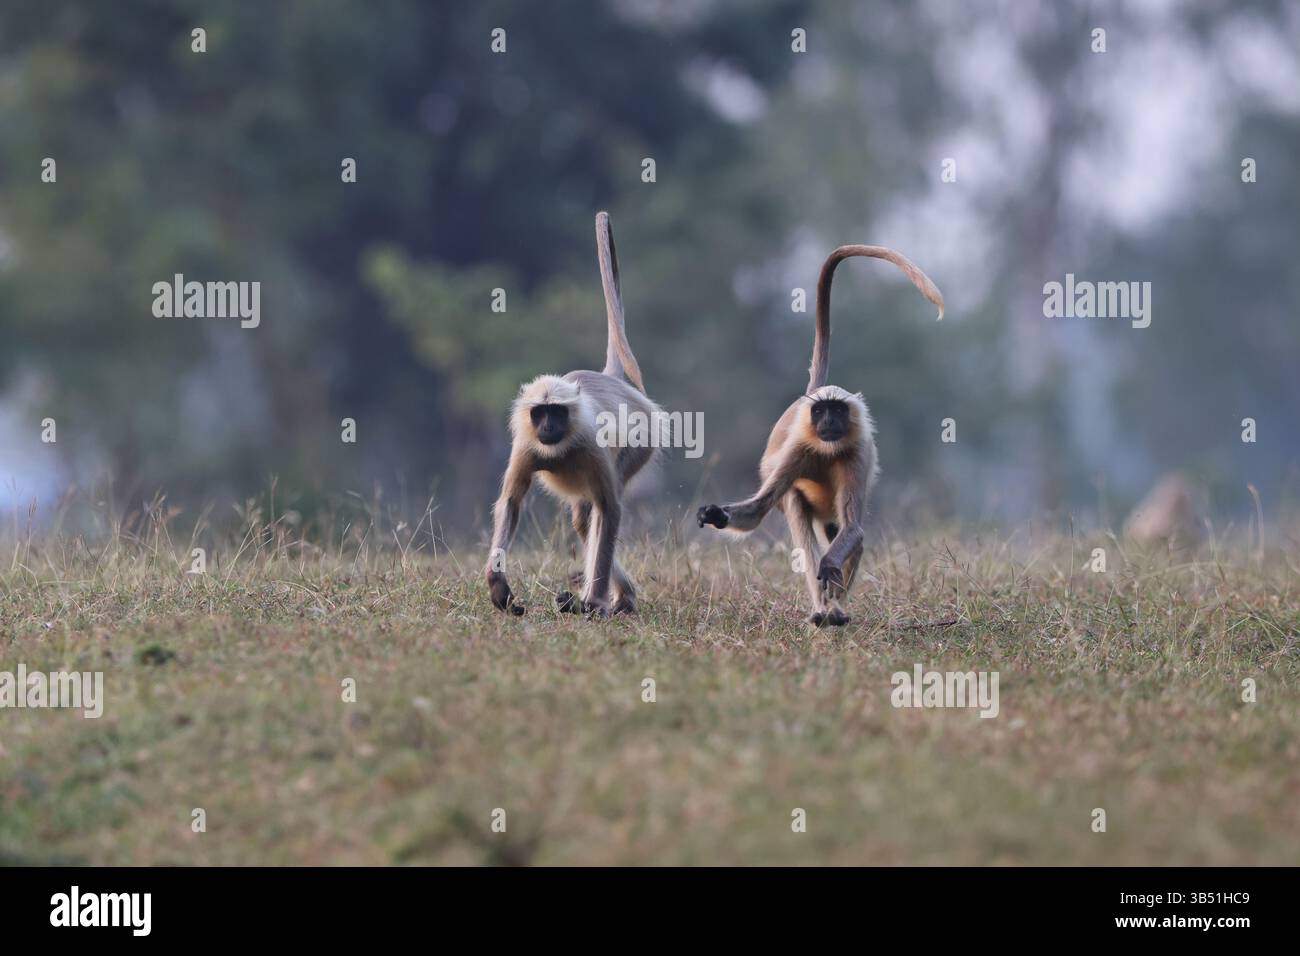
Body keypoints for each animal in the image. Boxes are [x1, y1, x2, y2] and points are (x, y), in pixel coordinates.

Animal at [485, 212, 659, 617]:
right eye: (540, 413)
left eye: (557, 413)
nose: (548, 425)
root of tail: (609, 377)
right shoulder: (526, 445)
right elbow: (511, 503)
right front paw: (498, 585)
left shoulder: (589, 444)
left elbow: (609, 510)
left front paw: (592, 602)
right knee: (583, 517)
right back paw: (621, 598)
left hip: (639, 443)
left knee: (594, 512)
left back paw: (609, 601)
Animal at [697, 245, 943, 626]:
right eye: (821, 412)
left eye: (837, 411)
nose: (827, 421)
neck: (828, 450)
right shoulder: (797, 450)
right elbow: (757, 511)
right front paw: (715, 515)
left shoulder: (855, 453)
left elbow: (853, 530)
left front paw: (831, 573)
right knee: (798, 514)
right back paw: (823, 610)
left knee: (846, 533)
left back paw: (835, 608)